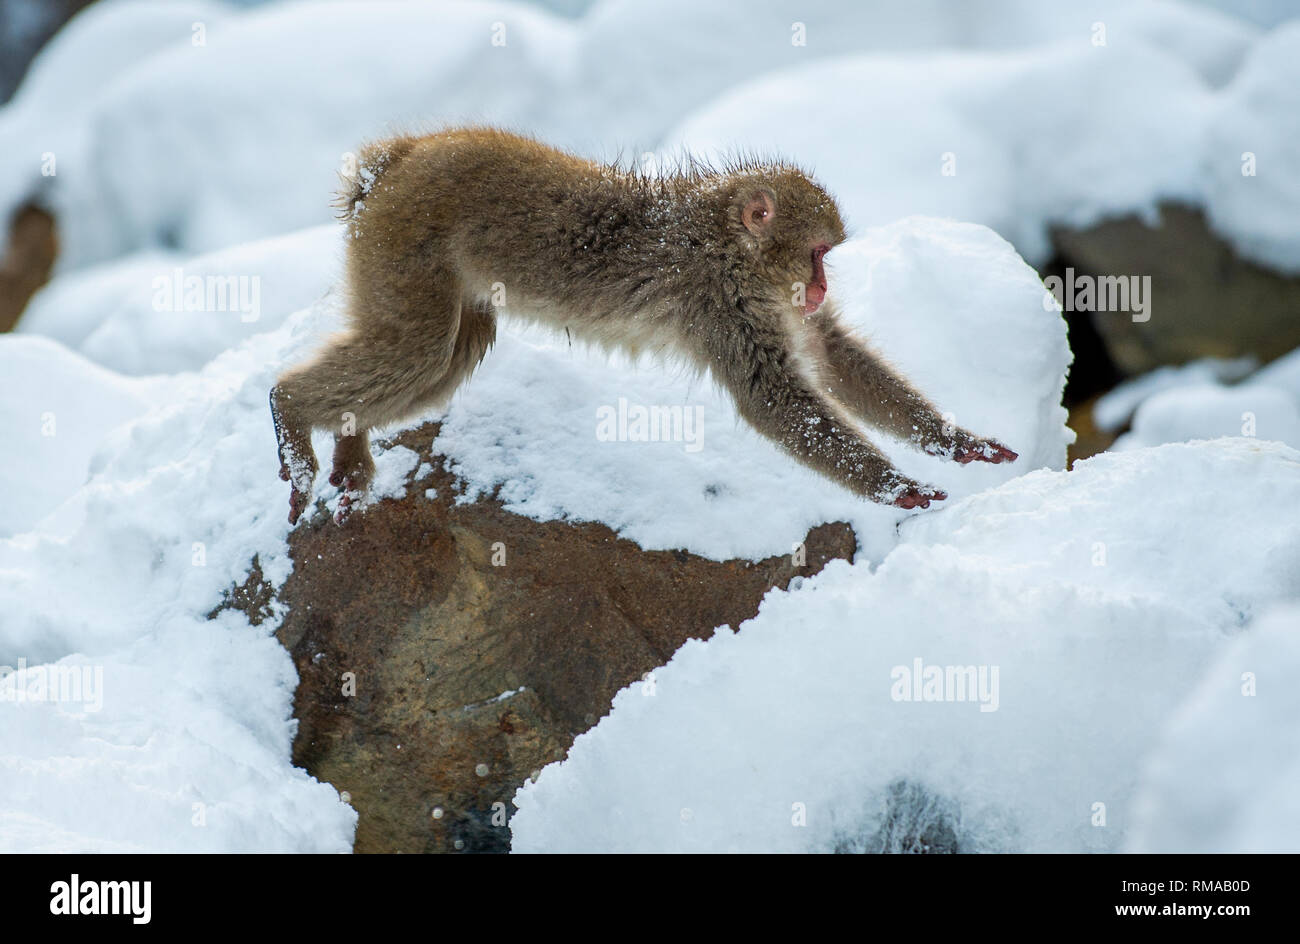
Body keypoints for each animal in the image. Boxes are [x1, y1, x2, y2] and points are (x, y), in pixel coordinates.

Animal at [271, 127, 1017, 525]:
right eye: (819, 253)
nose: (820, 287)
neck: (723, 240)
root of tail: (397, 157)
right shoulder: (719, 300)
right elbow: (773, 398)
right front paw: (898, 488)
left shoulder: (767, 300)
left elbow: (829, 352)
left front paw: (955, 442)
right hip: (401, 244)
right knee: (423, 351)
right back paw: (289, 414)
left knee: (449, 357)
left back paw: (347, 445)